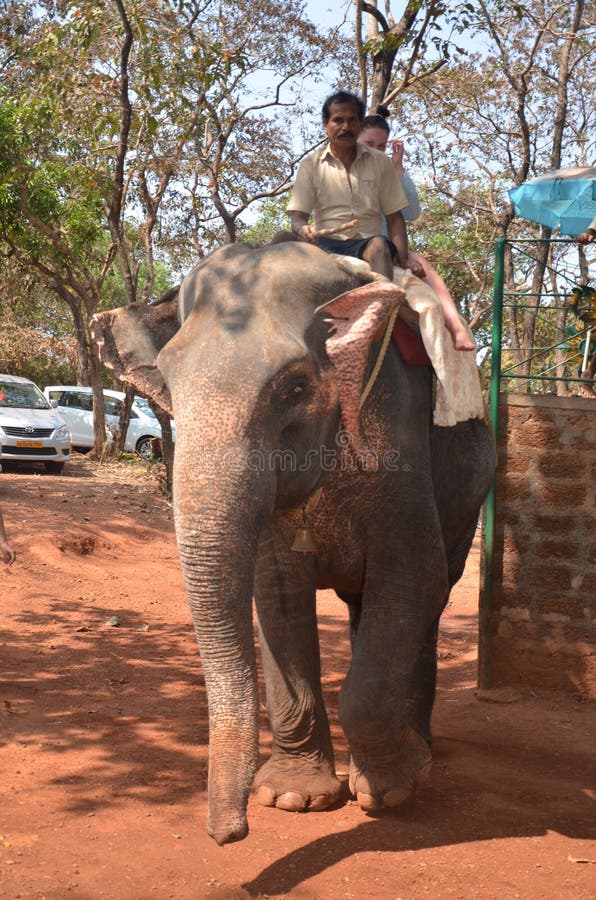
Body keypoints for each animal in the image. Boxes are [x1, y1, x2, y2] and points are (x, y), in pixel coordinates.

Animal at [91, 240, 495, 846]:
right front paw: (292, 798)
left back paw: (419, 751)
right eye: (168, 380)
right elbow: (276, 593)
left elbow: (414, 577)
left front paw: (390, 791)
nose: (228, 834)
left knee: (433, 596)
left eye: (295, 387)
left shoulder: (399, 443)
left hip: (469, 493)